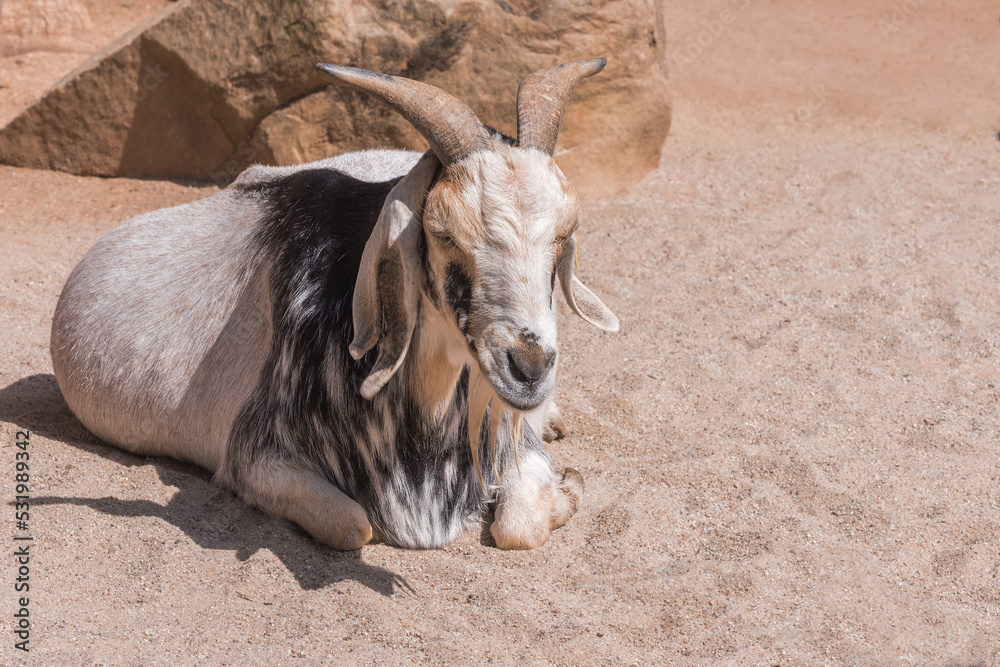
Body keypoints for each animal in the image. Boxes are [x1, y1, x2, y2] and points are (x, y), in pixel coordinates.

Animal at [50, 59, 619, 551]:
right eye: (442, 232)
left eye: (565, 232)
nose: (529, 368)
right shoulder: (254, 458)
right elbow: (352, 526)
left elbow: (517, 528)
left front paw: (567, 484)